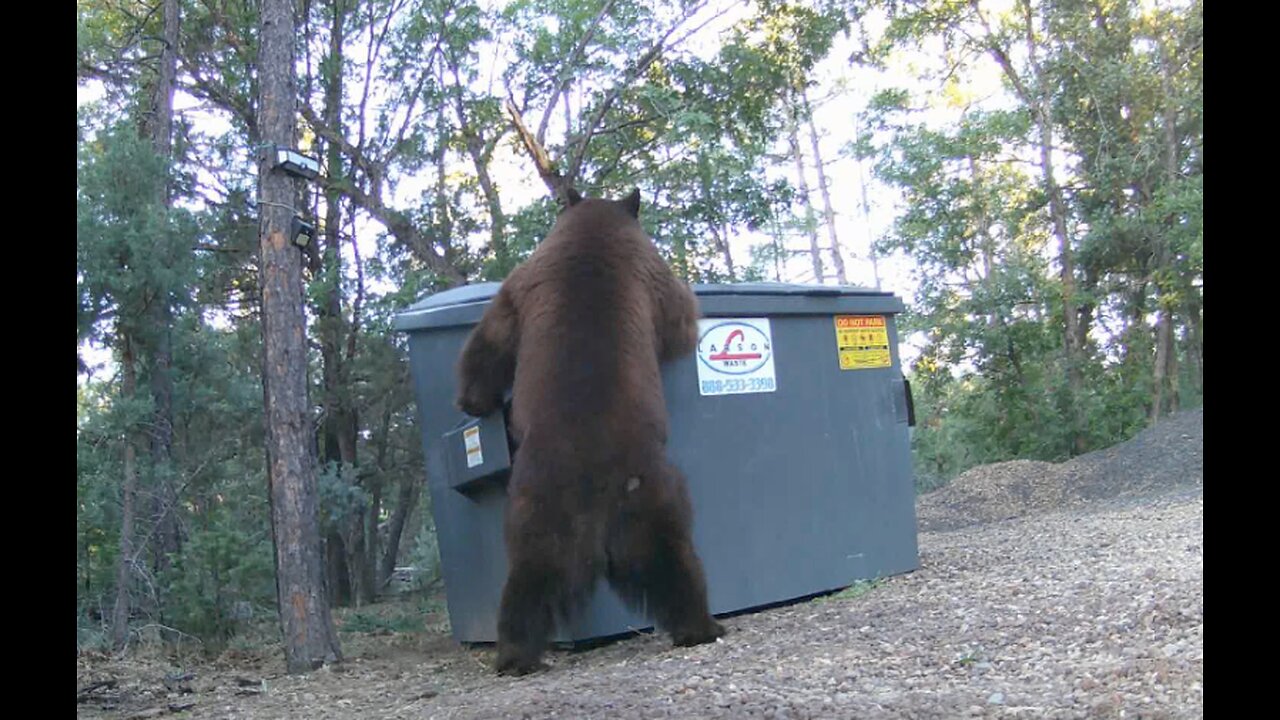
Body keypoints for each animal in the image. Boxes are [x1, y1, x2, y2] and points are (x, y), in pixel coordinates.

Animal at [455, 188, 725, 676]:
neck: (591, 230)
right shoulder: (648, 272)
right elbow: (677, 313)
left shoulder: (527, 279)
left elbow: (494, 334)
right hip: (636, 493)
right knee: (669, 555)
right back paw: (702, 625)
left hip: (562, 509)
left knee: (536, 576)